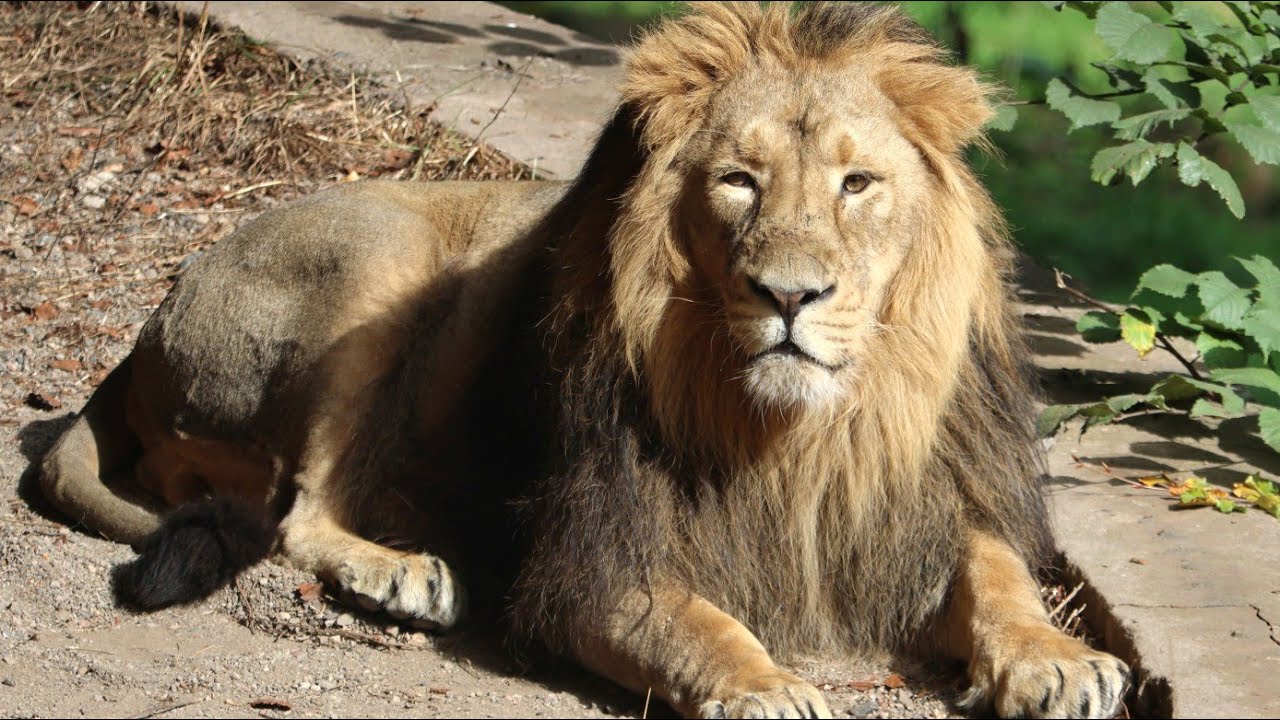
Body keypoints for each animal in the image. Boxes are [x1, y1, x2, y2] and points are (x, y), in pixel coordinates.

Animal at [38, 3, 1129, 718]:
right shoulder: (588, 552)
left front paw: (1060, 660)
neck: (803, 436)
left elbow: (1000, 582)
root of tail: (145, 334)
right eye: (738, 181)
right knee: (296, 512)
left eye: (857, 183)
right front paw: (769, 688)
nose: (789, 297)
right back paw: (402, 573)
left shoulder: (926, 508)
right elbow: (694, 625)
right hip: (377, 253)